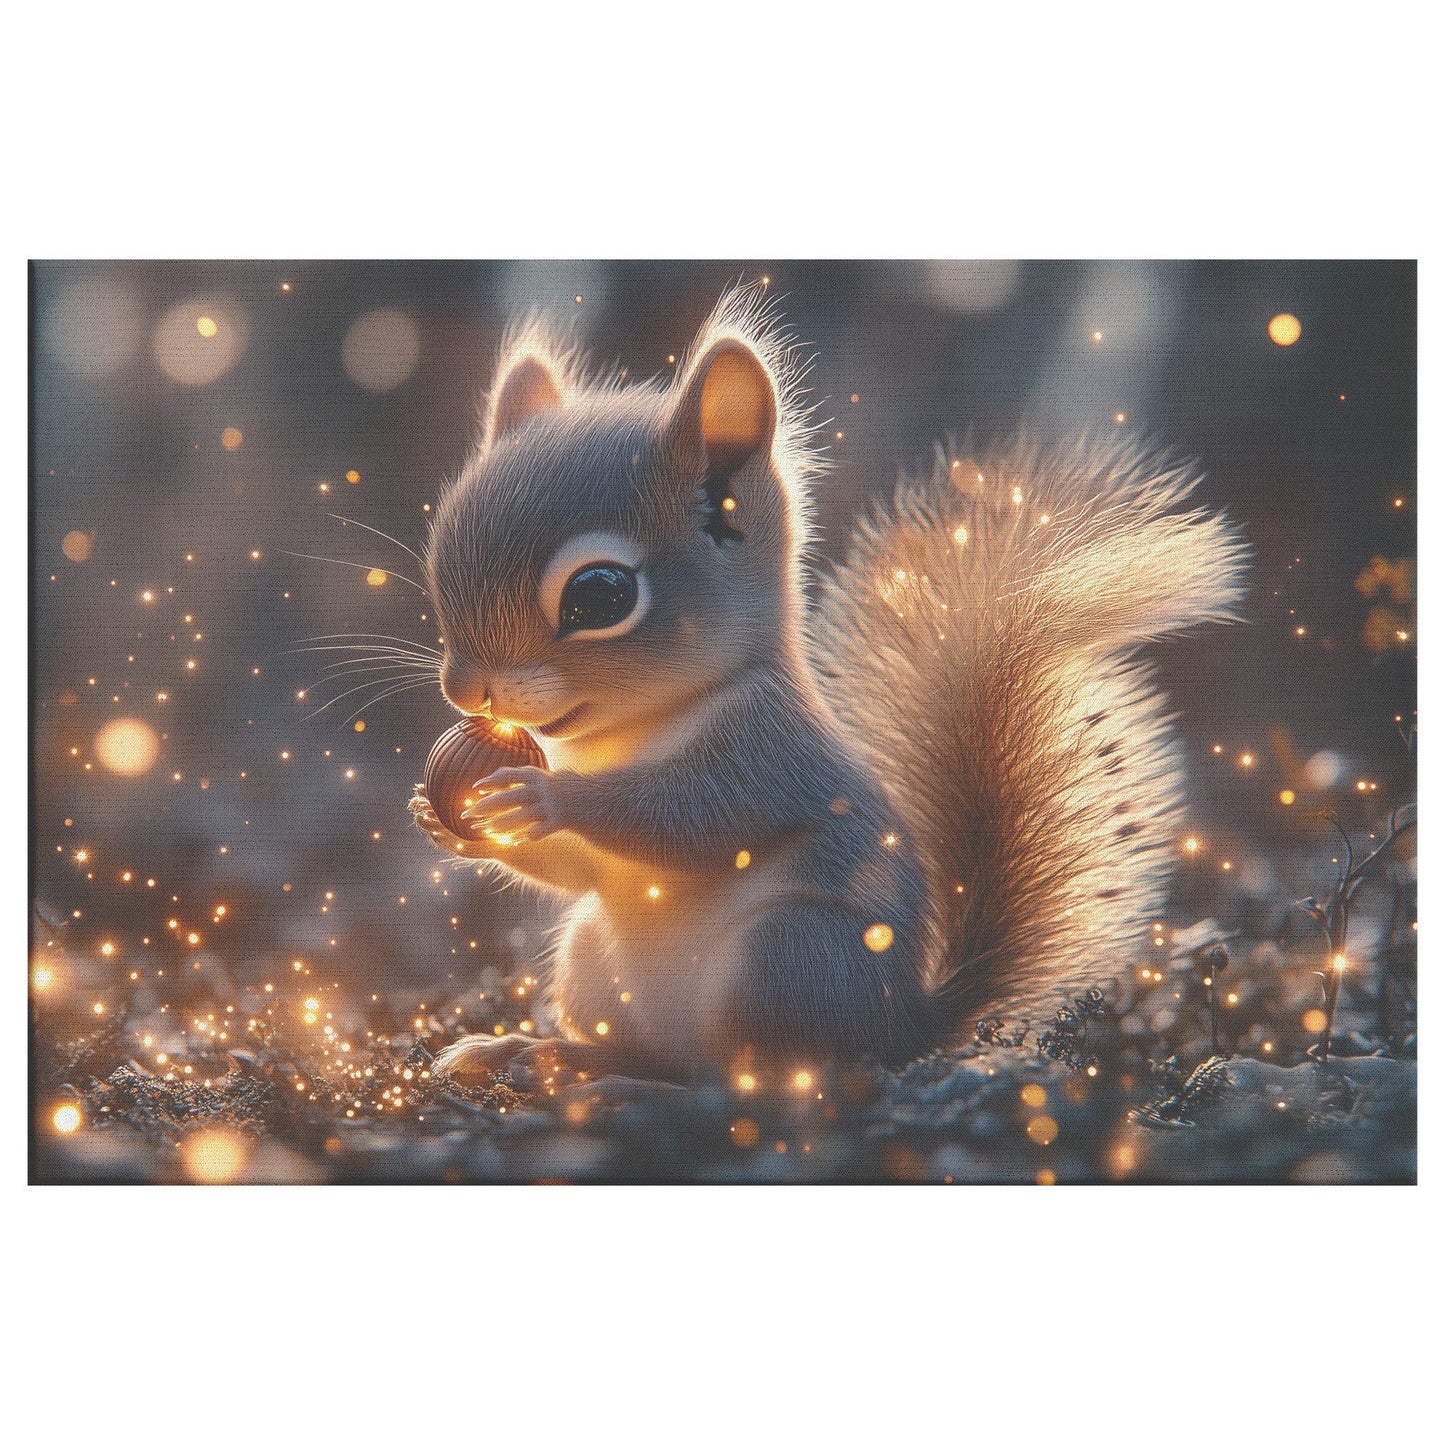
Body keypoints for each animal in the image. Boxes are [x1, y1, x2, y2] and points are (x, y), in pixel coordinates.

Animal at [408, 283, 1247, 1086]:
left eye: (599, 596)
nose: (468, 692)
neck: (635, 729)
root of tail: (900, 1027)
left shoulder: (772, 754)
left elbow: (689, 817)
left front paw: (546, 797)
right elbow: (581, 867)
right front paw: (437, 817)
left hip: (784, 957)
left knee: (750, 1081)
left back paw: (628, 1083)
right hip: (592, 959)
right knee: (660, 1053)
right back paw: (539, 1052)